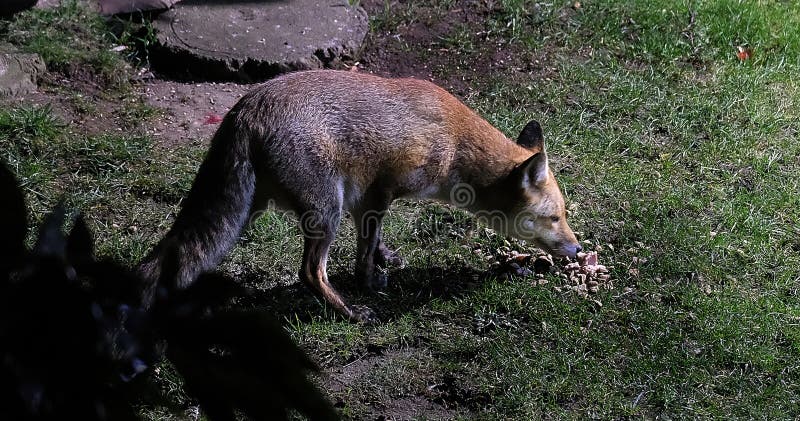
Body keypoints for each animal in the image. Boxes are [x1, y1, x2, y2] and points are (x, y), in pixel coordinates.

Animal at [138, 70, 581, 322]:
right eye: (555, 217)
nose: (577, 249)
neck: (453, 143)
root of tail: (245, 108)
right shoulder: (376, 193)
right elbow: (364, 253)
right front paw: (369, 283)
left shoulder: (365, 199)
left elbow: (375, 242)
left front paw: (386, 261)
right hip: (325, 211)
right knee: (310, 272)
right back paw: (351, 312)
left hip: (254, 210)